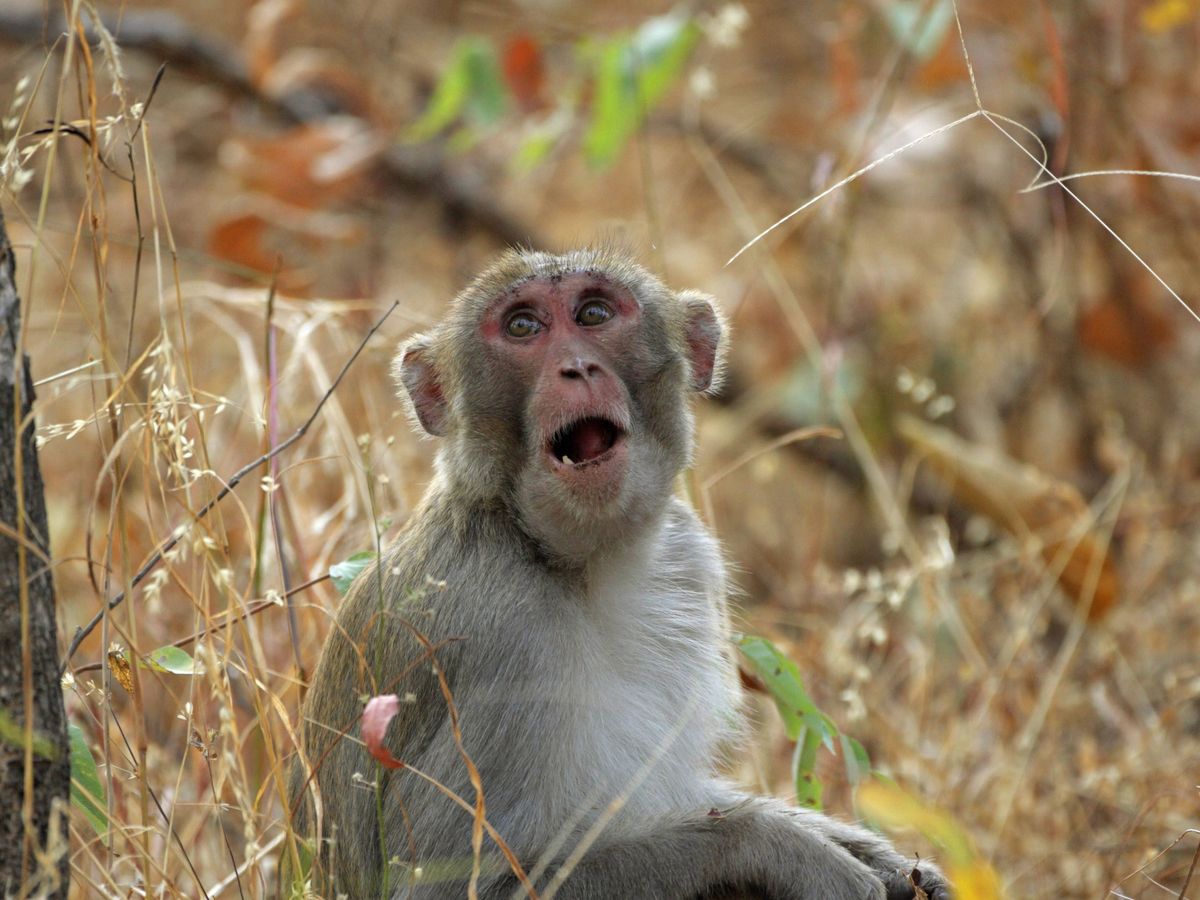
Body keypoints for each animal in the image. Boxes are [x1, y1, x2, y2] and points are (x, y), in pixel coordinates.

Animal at [287, 247, 951, 900]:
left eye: (594, 314)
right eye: (522, 326)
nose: (577, 368)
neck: (576, 561)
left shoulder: (688, 555)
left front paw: (878, 858)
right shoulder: (498, 638)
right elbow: (452, 887)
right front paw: (776, 846)